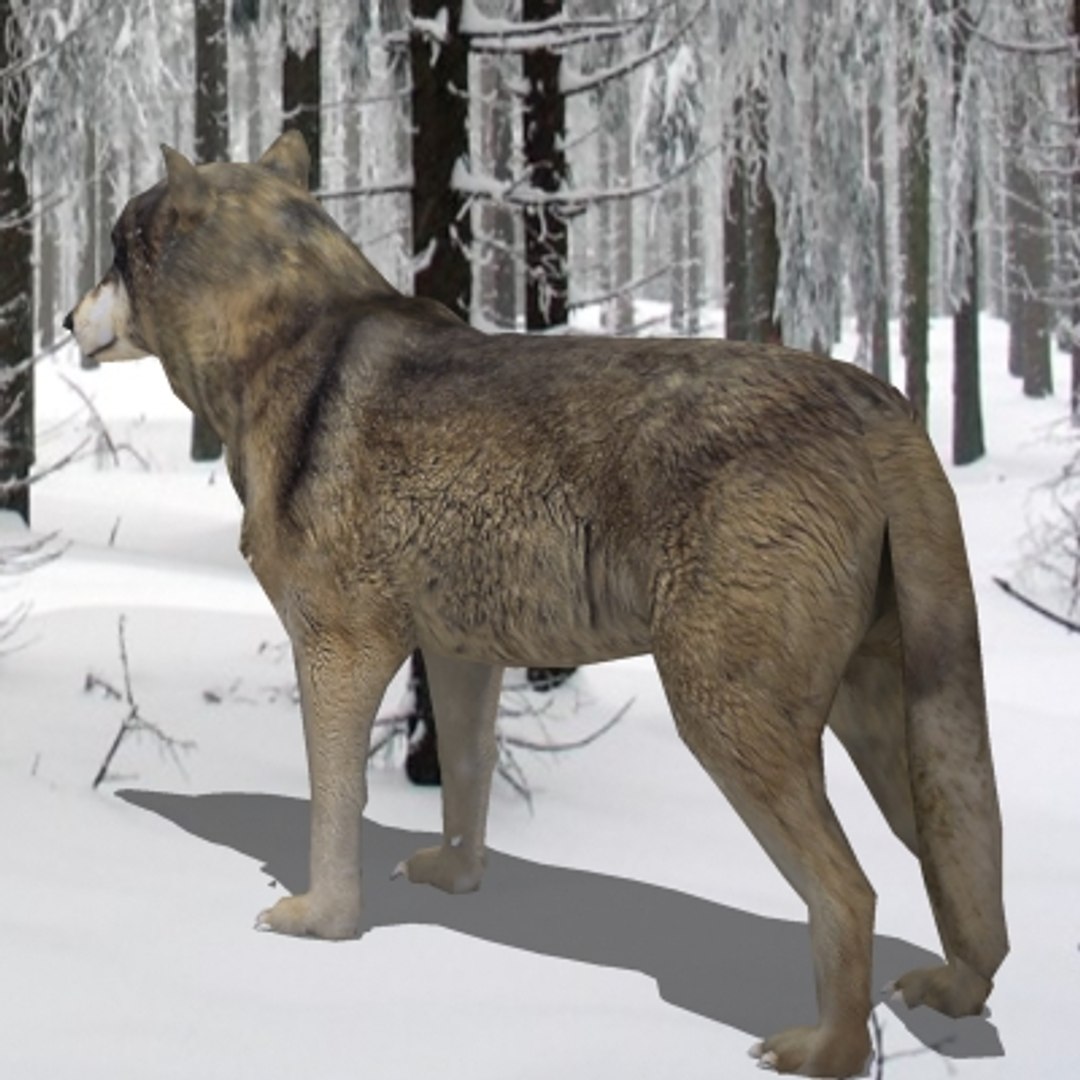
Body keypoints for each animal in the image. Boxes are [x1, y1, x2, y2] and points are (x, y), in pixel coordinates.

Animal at [65, 133, 1007, 1077]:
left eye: (114, 250)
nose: (67, 320)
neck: (283, 340)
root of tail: (875, 401)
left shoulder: (339, 648)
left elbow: (336, 799)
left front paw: (321, 923)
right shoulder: (460, 654)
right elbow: (467, 774)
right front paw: (456, 880)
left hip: (728, 722)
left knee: (855, 891)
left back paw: (823, 1051)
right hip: (888, 731)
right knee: (967, 891)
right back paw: (952, 999)